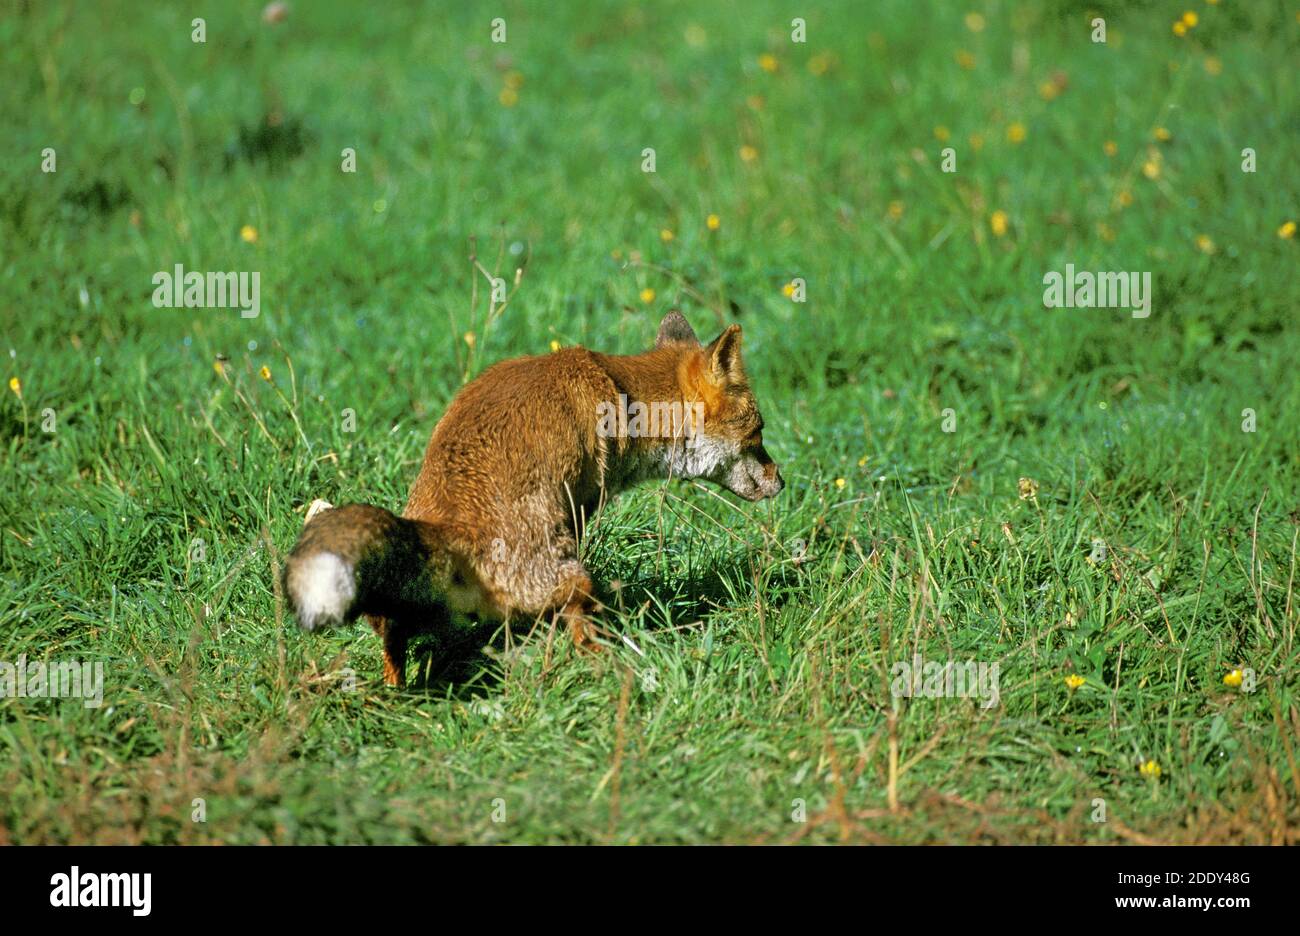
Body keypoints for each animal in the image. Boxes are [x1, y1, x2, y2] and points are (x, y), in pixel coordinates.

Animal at [282, 311, 783, 686]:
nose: (782, 481)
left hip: (408, 607)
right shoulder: (579, 505)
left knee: (392, 636)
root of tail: (449, 526)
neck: (622, 398)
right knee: (576, 627)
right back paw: (608, 661)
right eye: (758, 434)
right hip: (574, 577)